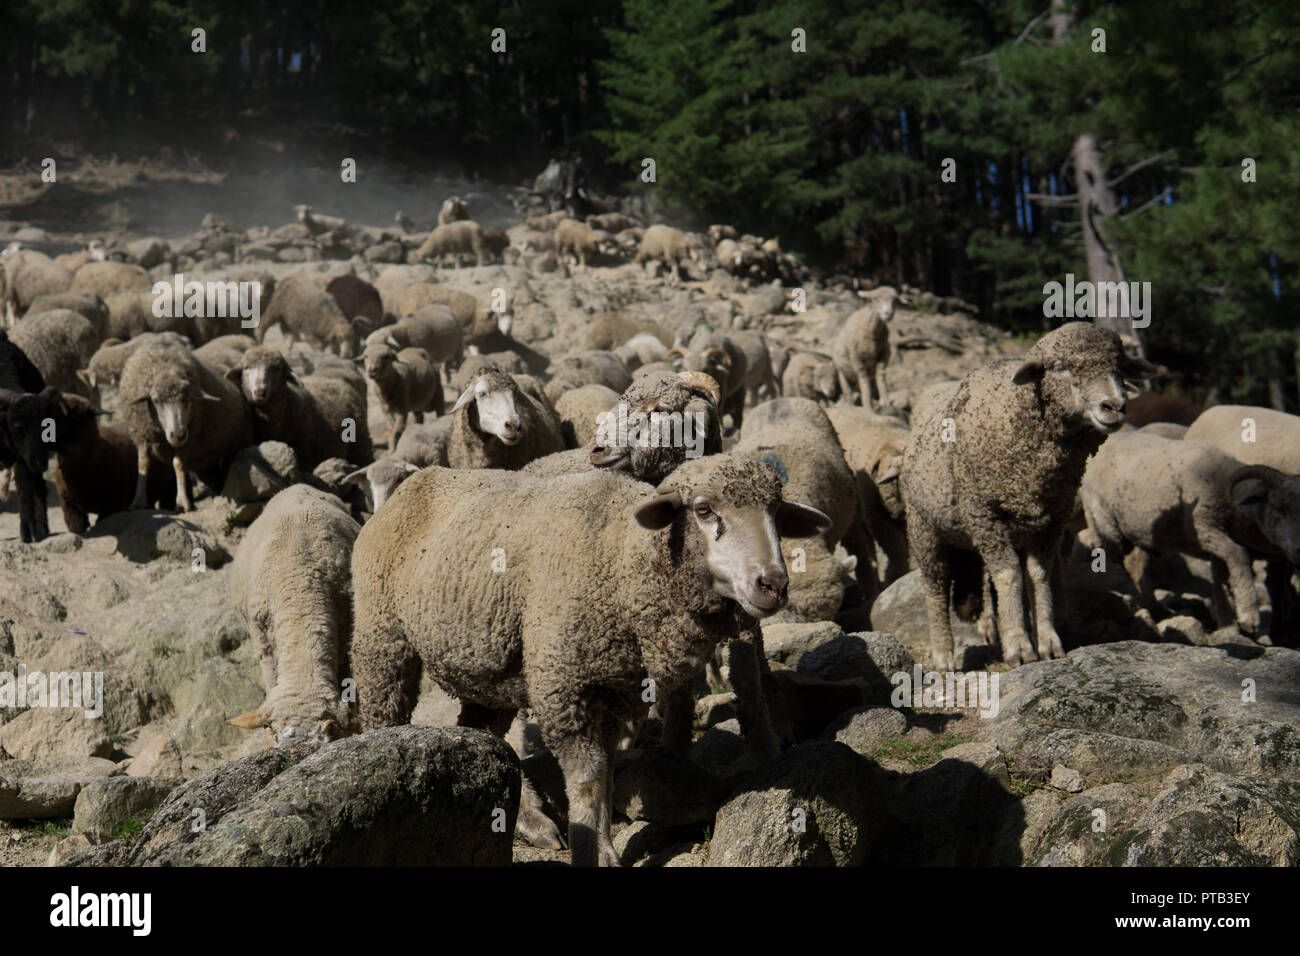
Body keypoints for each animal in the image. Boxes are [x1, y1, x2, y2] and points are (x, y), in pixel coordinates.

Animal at [120, 342, 256, 511]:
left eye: (188, 399)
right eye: (156, 401)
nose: (178, 435)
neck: (165, 368)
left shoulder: (190, 436)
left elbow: (178, 464)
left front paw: (182, 502)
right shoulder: (142, 433)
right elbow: (143, 464)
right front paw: (138, 502)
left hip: (237, 444)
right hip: (204, 462)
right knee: (213, 478)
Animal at [350, 452, 830, 864]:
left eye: (776, 511)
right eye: (703, 509)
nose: (772, 584)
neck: (620, 556)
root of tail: (416, 482)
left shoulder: (613, 689)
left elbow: (606, 776)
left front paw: (605, 846)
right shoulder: (564, 684)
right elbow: (586, 780)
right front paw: (590, 853)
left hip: (491, 664)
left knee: (481, 732)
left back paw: (530, 820)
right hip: (381, 635)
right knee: (382, 712)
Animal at [901, 322, 1155, 670]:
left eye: (1119, 367)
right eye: (1061, 366)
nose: (1114, 406)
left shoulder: (1050, 521)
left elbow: (1039, 576)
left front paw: (1048, 642)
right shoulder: (986, 516)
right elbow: (1009, 576)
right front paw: (1019, 648)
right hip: (924, 527)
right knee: (936, 584)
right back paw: (944, 655)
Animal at [1082, 431, 1300, 640]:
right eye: (1279, 508)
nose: (1298, 549)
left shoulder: (1216, 539)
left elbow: (1220, 580)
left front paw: (1227, 627)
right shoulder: (1204, 528)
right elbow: (1239, 555)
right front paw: (1248, 618)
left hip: (1136, 531)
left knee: (1135, 566)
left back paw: (1153, 607)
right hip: (1101, 517)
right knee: (1112, 558)